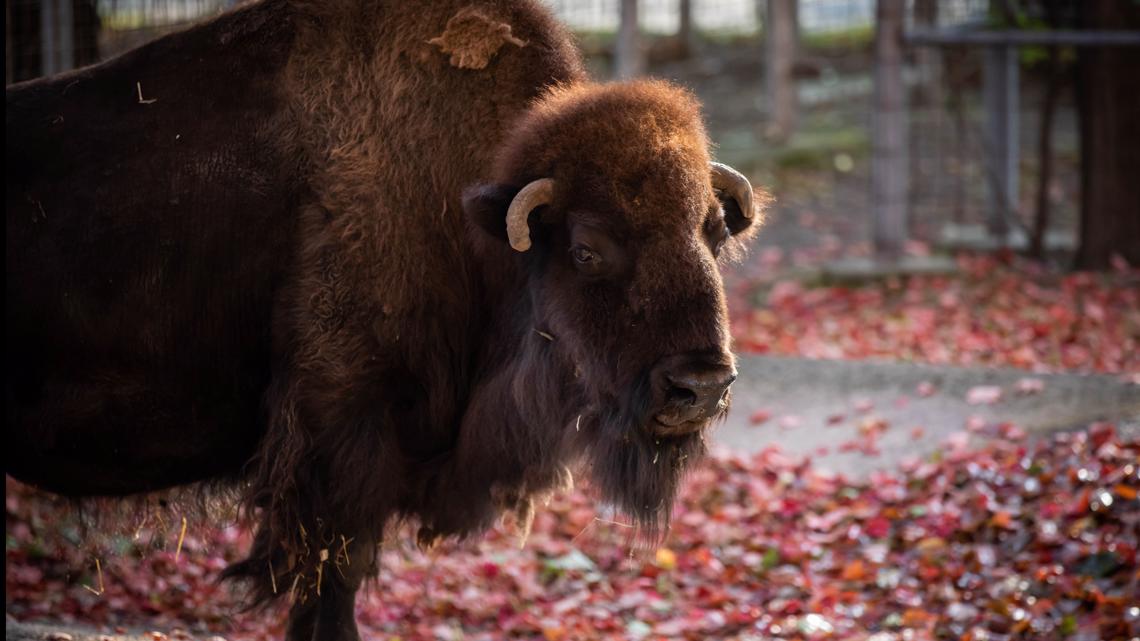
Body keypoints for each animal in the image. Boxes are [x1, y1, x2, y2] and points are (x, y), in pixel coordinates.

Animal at [5, 0, 763, 638]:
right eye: (586, 249)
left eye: (714, 233)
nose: (700, 386)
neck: (471, 220)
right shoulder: (337, 443)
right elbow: (331, 581)